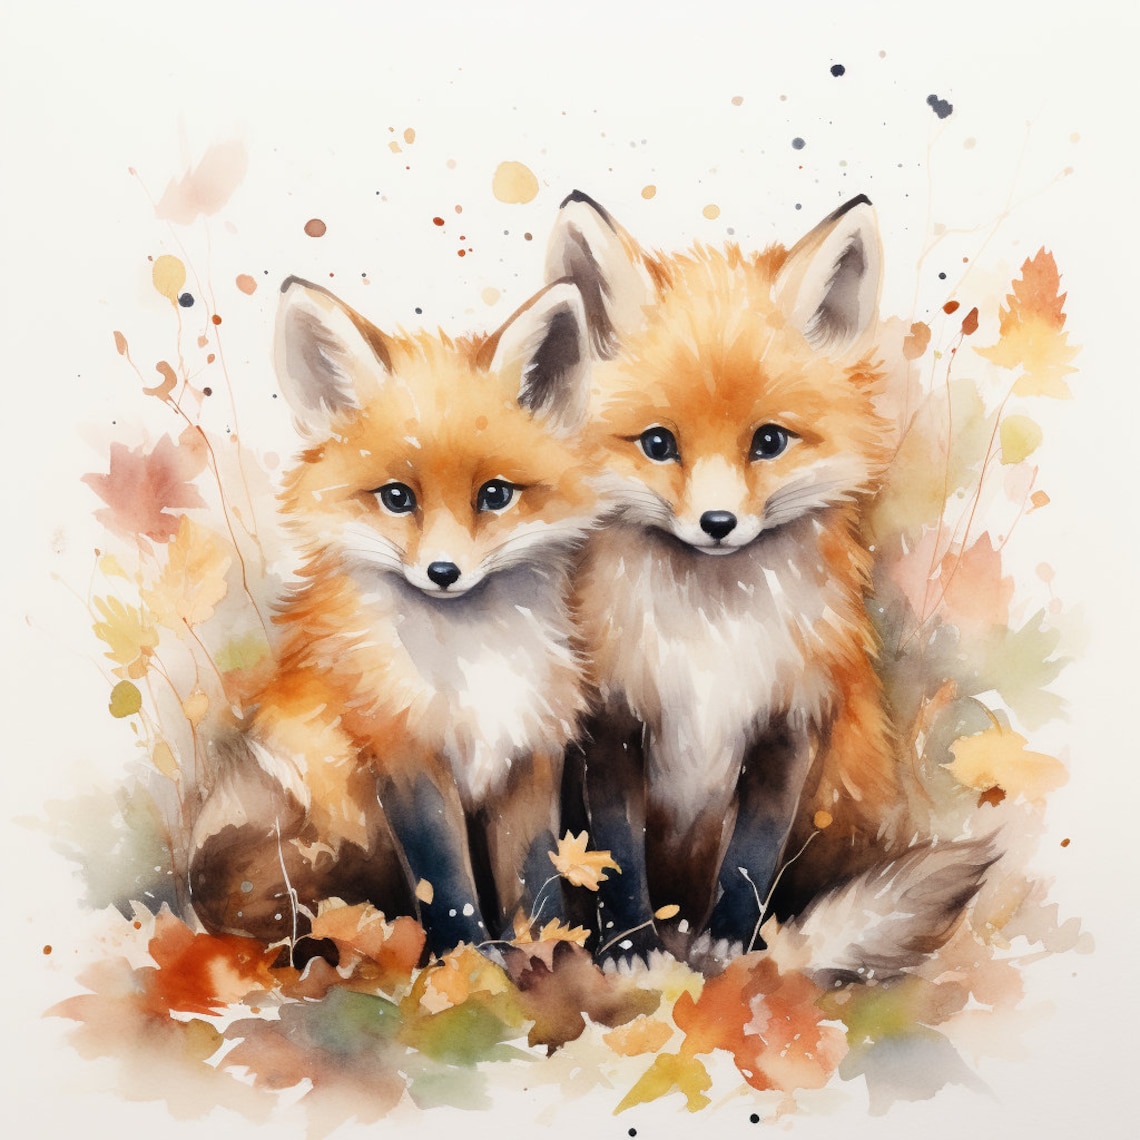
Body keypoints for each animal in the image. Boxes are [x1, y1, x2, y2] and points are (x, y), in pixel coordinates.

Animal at [189, 274, 604, 959]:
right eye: (397, 498)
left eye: (495, 494)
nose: (443, 572)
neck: (470, 663)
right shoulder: (402, 752)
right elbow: (446, 882)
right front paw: (470, 964)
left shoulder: (530, 751)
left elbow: (534, 876)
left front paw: (550, 955)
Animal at [546, 191, 922, 963]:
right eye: (659, 443)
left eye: (769, 441)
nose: (717, 523)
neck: (711, 636)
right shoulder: (612, 722)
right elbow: (616, 852)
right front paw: (629, 950)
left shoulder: (790, 721)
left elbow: (751, 855)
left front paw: (727, 941)